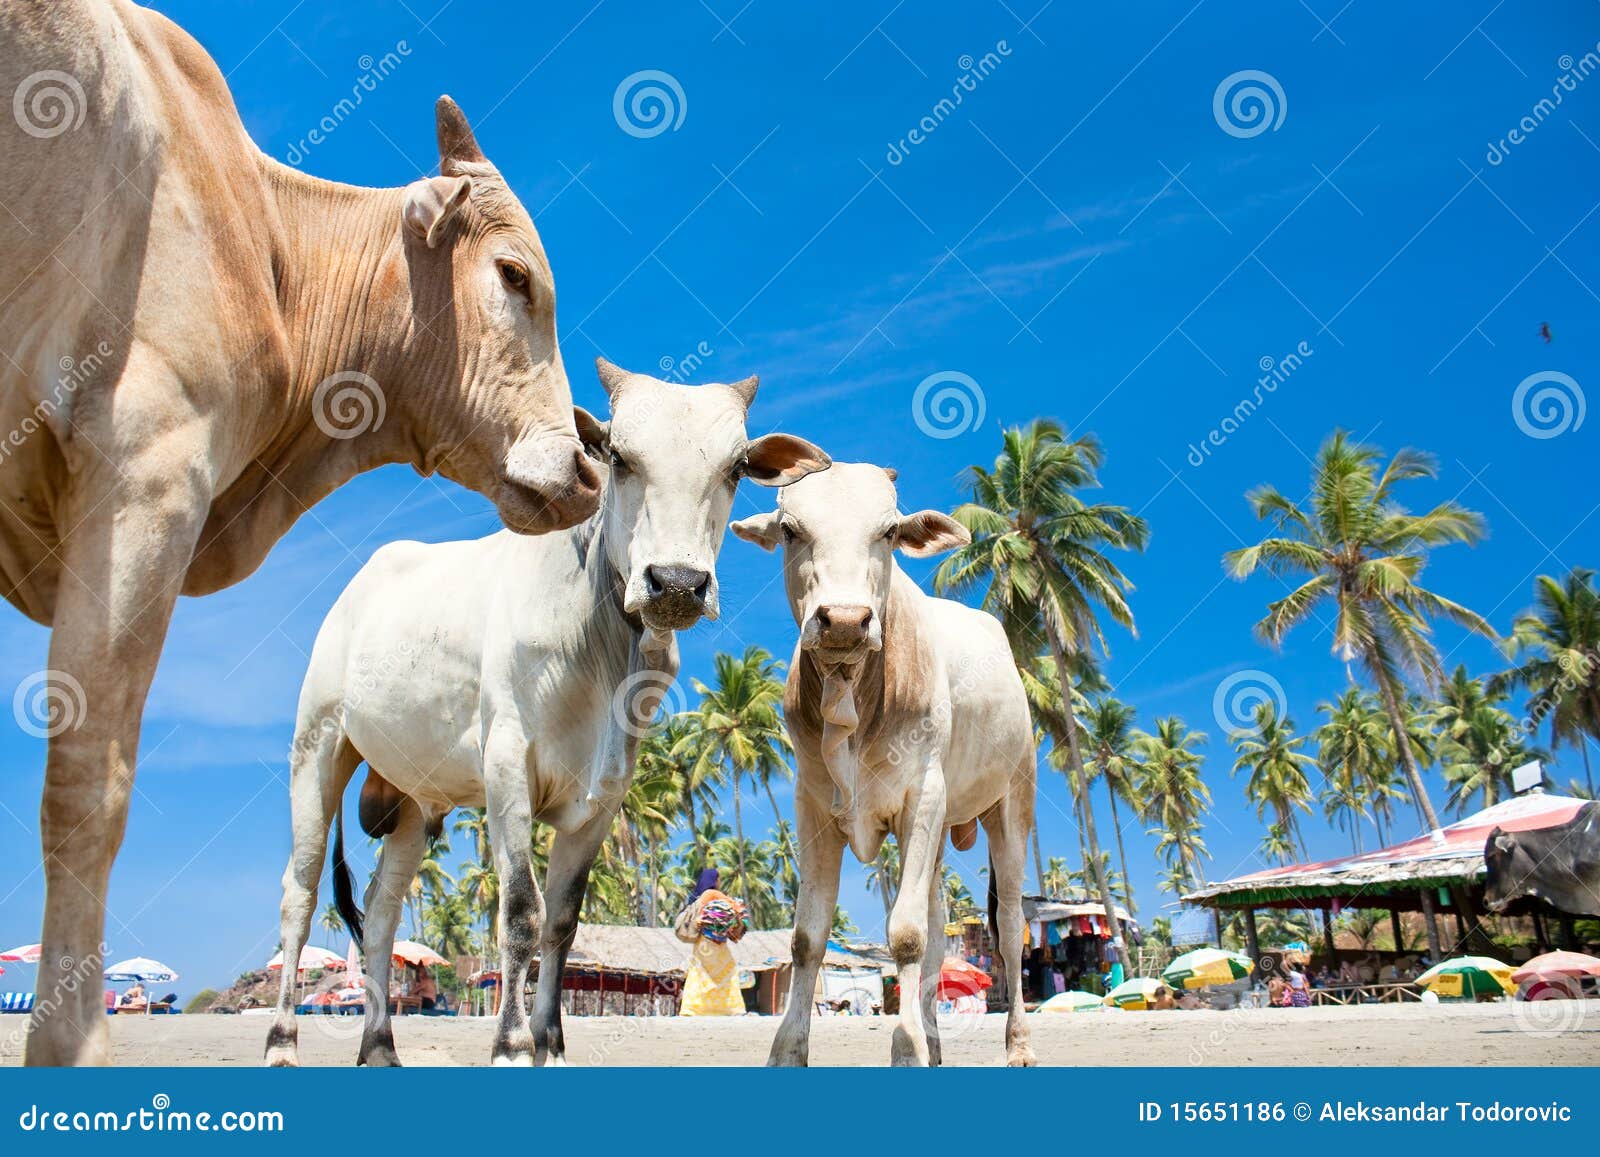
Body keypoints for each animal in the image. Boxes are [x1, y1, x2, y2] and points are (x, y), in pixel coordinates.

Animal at [1, 1, 602, 1064]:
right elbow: (89, 786)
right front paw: (71, 1047)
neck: (271, 246)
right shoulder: (147, 476)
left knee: (379, 902)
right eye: (514, 275)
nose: (583, 470)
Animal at [264, 360, 829, 1066]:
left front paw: (550, 1043)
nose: (675, 583)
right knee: (300, 895)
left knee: (381, 909)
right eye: (618, 457)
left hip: (416, 801)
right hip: (317, 746)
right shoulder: (508, 767)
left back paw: (379, 1045)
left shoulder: (606, 797)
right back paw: (282, 1041)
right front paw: (510, 1045)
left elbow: (562, 919)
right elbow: (520, 914)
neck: (600, 643)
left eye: (736, 469)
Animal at [731, 462, 1036, 1067]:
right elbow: (807, 938)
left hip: (1011, 802)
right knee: (941, 929)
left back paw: (1016, 1043)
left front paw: (907, 1047)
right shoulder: (812, 807)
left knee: (1010, 928)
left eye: (890, 532)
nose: (846, 621)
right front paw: (789, 1049)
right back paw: (937, 1041)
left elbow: (907, 935)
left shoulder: (922, 798)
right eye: (790, 530)